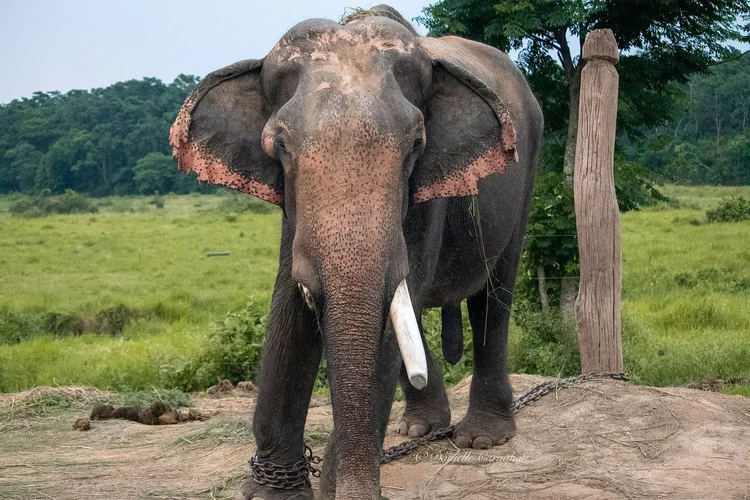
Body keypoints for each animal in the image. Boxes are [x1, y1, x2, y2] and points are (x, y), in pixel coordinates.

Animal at [170, 5, 542, 500]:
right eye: (279, 146)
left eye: (416, 146)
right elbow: (290, 307)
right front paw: (272, 492)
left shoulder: (426, 195)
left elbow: (392, 308)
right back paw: (420, 429)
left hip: (529, 163)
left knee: (493, 296)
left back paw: (481, 437)